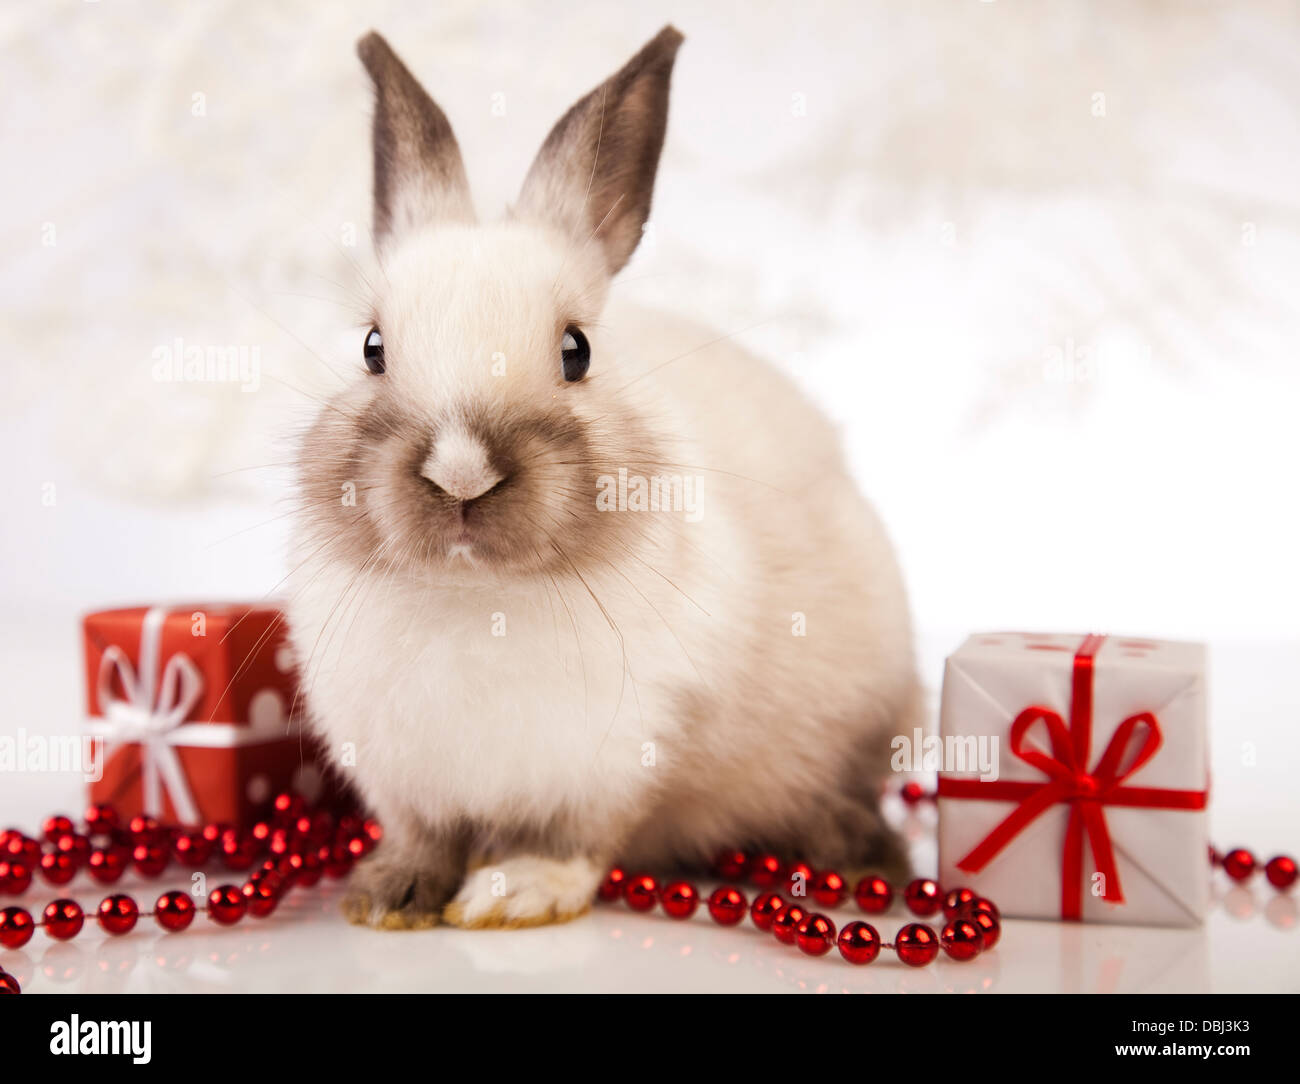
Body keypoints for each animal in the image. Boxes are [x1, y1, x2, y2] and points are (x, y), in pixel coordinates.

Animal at [286, 25, 922, 930]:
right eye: (372, 348)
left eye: (575, 351)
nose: (461, 474)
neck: (479, 599)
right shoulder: (402, 781)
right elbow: (424, 839)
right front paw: (391, 899)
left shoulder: (619, 763)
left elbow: (572, 844)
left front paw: (510, 896)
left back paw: (854, 850)